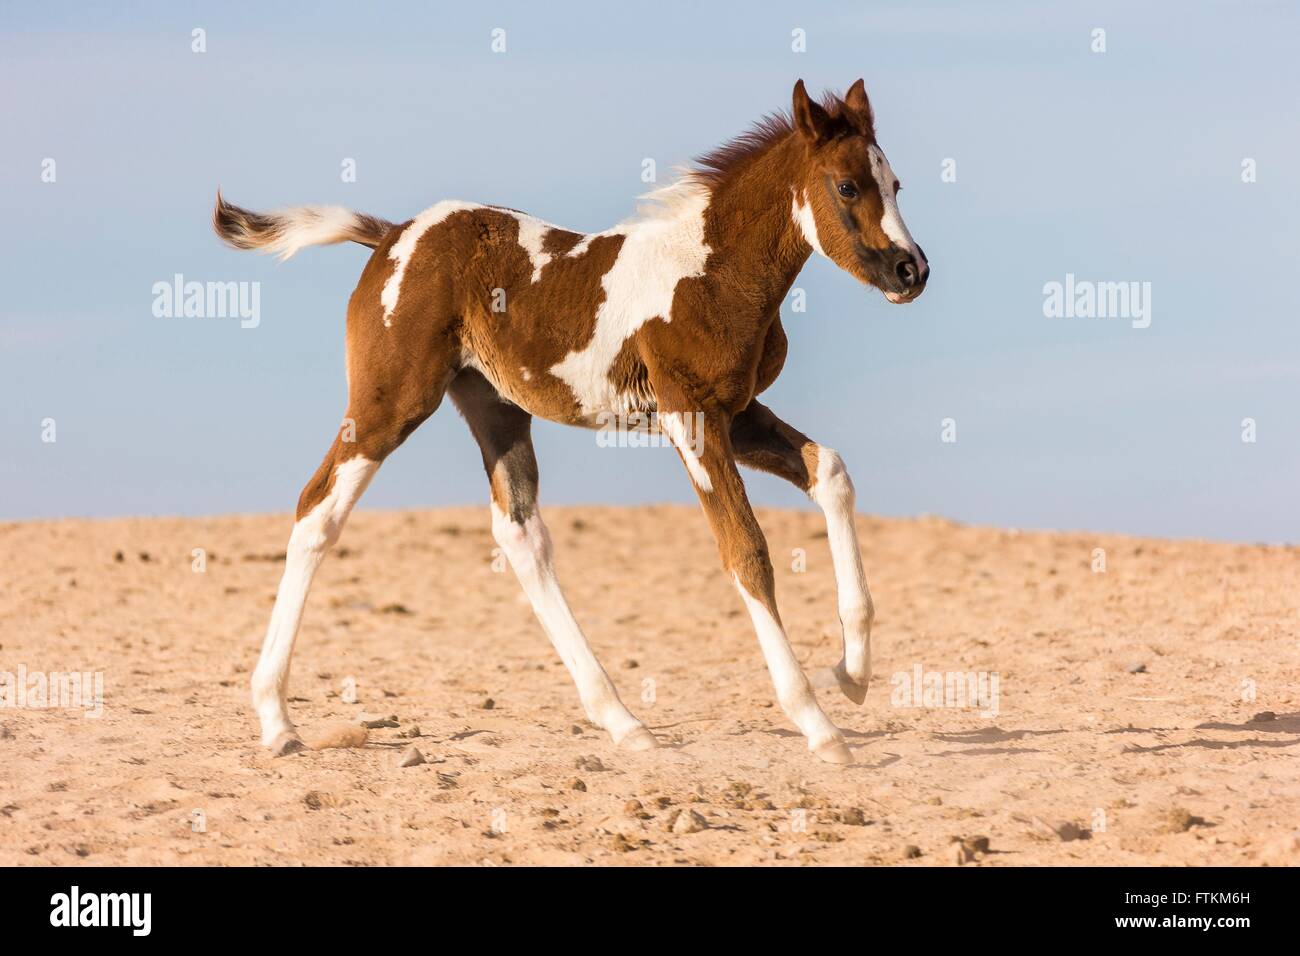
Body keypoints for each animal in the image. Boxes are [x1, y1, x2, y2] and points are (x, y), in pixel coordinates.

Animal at [214, 78, 929, 764]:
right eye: (846, 185)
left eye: (895, 184)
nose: (911, 270)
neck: (711, 273)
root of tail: (393, 236)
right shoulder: (692, 418)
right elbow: (746, 550)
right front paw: (819, 725)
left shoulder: (739, 412)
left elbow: (831, 473)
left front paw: (852, 674)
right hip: (389, 404)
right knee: (317, 510)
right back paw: (276, 720)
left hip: (494, 407)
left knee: (521, 535)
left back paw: (622, 721)